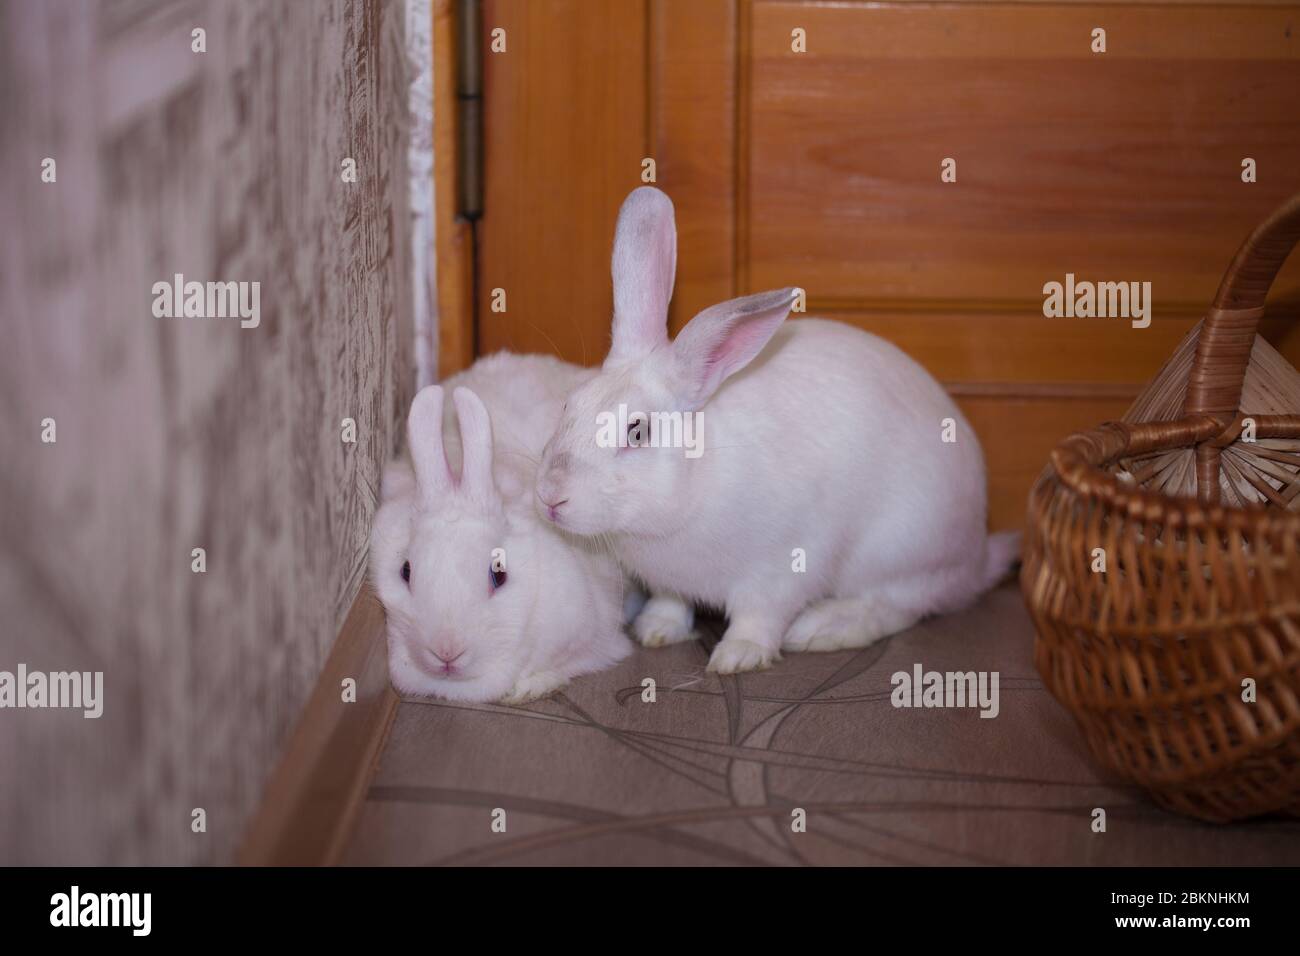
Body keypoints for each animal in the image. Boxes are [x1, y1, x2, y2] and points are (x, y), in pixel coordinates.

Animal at [534, 186, 1020, 674]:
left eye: (637, 432)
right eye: (569, 404)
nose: (551, 497)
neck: (694, 481)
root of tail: (976, 557)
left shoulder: (781, 569)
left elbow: (759, 615)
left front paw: (738, 657)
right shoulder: (671, 581)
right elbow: (672, 602)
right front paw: (656, 630)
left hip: (899, 550)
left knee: (898, 606)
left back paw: (824, 629)